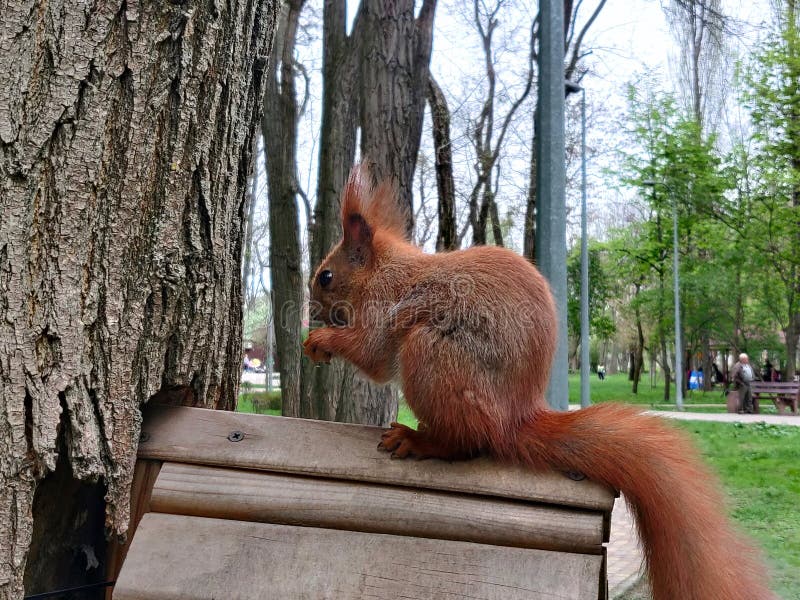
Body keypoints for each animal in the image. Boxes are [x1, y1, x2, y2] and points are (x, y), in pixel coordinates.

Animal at [304, 164, 773, 600]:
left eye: (326, 276)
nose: (311, 310)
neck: (383, 270)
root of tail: (514, 420)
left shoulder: (384, 306)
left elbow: (372, 354)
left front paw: (321, 342)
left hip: (432, 357)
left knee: (465, 444)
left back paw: (418, 440)